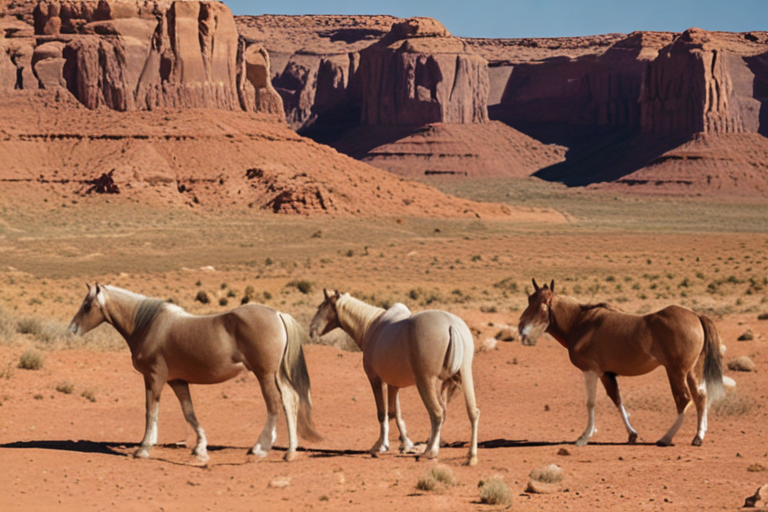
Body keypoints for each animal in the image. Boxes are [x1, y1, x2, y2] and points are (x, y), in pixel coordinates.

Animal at [68, 283, 321, 461]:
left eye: (87, 305)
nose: (72, 329)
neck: (148, 325)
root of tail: (277, 314)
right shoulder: (178, 381)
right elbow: (189, 413)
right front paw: (200, 447)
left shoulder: (153, 378)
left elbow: (151, 411)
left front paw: (144, 448)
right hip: (276, 374)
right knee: (290, 401)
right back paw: (290, 451)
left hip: (265, 374)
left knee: (275, 405)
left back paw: (260, 448)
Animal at [309, 289, 480, 465]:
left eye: (321, 306)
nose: (311, 330)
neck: (371, 325)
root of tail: (451, 324)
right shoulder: (393, 384)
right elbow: (395, 413)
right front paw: (405, 444)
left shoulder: (376, 380)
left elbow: (382, 412)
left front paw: (379, 446)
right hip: (464, 375)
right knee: (472, 412)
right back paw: (471, 457)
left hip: (426, 381)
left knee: (437, 414)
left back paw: (430, 451)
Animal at [518, 279, 727, 447]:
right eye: (530, 299)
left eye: (543, 304)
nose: (521, 329)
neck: (579, 322)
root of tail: (696, 316)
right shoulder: (606, 374)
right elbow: (617, 399)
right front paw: (632, 435)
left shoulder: (591, 371)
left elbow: (590, 403)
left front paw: (583, 438)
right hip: (691, 372)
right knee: (700, 397)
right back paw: (698, 437)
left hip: (676, 371)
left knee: (684, 399)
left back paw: (665, 438)